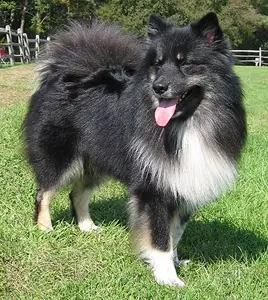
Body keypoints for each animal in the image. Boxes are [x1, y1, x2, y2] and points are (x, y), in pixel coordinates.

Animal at [24, 12, 246, 288]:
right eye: (158, 65)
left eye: (185, 64)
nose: (158, 87)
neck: (186, 125)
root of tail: (63, 74)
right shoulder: (154, 190)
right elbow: (160, 238)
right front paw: (167, 277)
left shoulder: (183, 185)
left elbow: (175, 233)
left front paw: (174, 262)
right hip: (60, 158)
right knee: (44, 192)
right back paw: (44, 227)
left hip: (96, 162)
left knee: (77, 194)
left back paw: (87, 227)